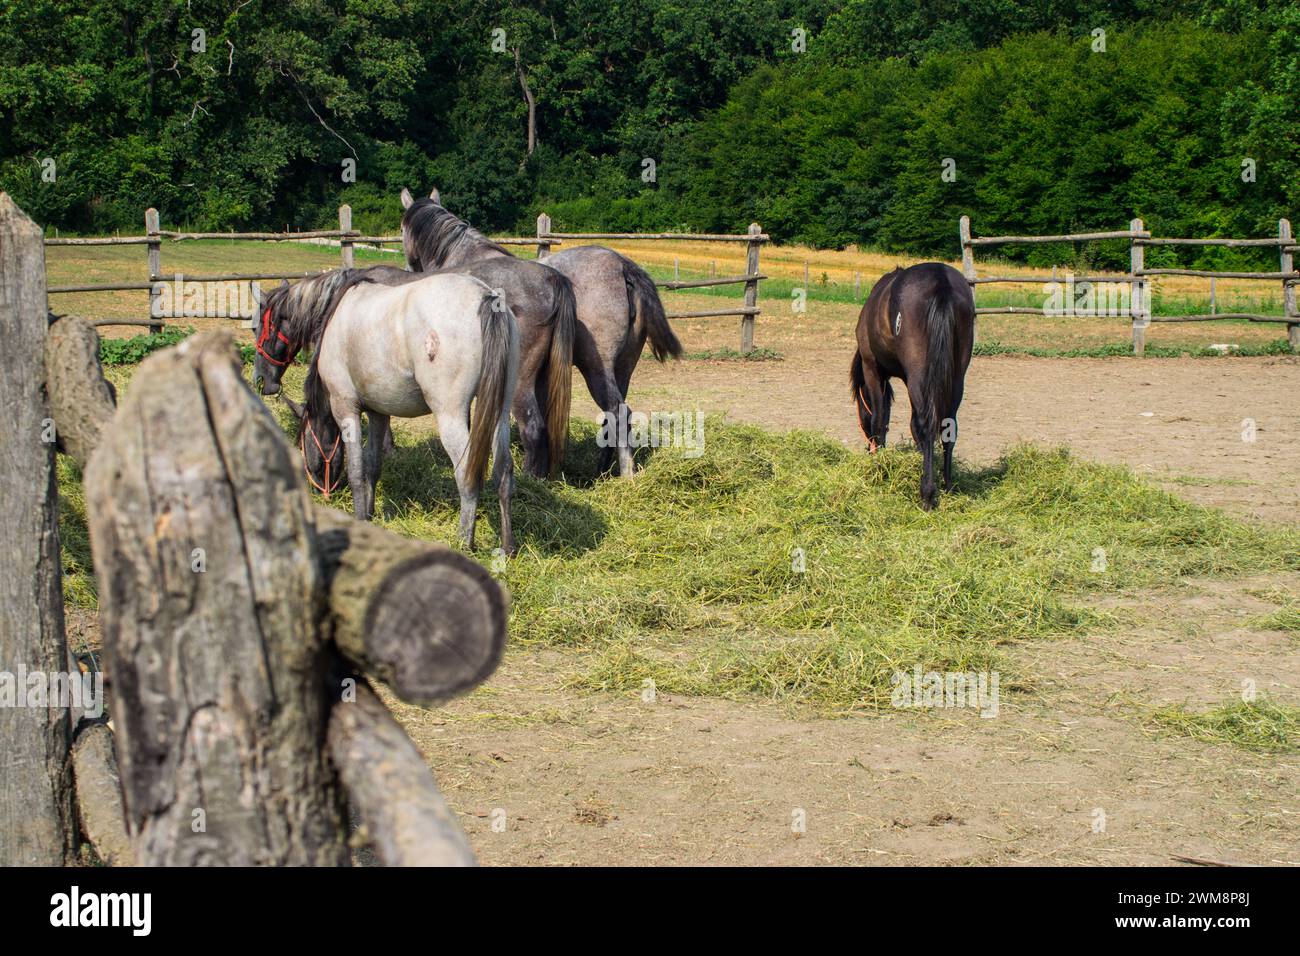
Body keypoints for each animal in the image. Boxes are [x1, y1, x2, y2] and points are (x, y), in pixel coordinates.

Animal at [251, 268, 520, 553]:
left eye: (257, 327)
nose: (260, 380)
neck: (336, 309)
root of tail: (486, 296)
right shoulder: (378, 413)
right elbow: (372, 466)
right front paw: (369, 516)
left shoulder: (345, 408)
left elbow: (356, 471)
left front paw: (360, 518)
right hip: (500, 412)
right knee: (503, 471)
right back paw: (507, 547)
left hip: (451, 416)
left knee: (467, 476)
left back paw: (464, 543)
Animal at [850, 263, 975, 510]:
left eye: (860, 406)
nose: (867, 449)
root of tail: (940, 280)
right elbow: (913, 427)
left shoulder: (872, 369)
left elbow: (879, 419)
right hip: (956, 377)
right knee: (947, 427)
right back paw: (948, 486)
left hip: (918, 373)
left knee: (927, 425)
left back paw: (927, 493)